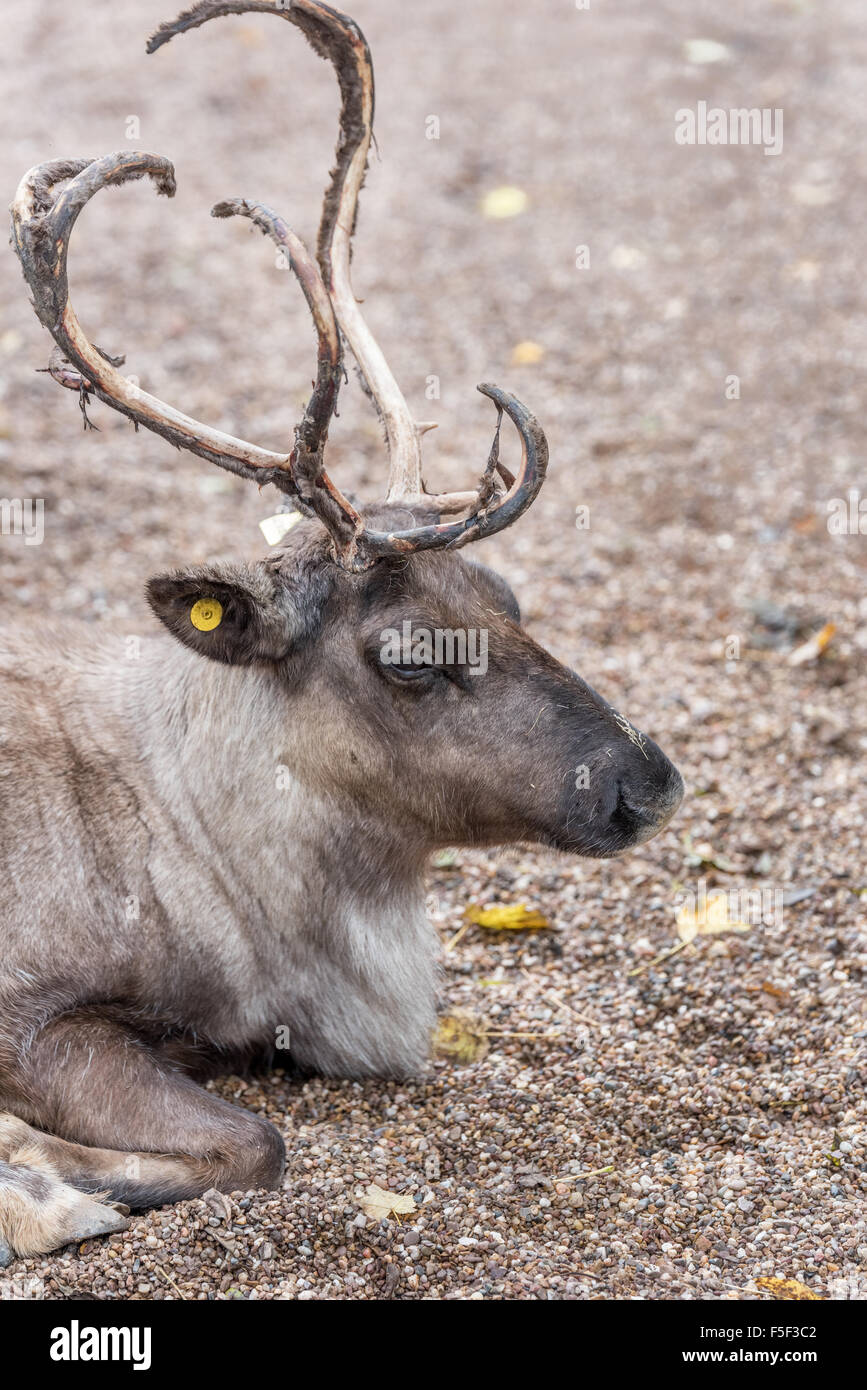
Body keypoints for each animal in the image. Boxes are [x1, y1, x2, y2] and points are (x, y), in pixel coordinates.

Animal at [0, 0, 683, 1264]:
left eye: (508, 597)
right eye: (410, 659)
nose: (646, 783)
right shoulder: (29, 1008)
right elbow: (251, 1144)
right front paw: (37, 1187)